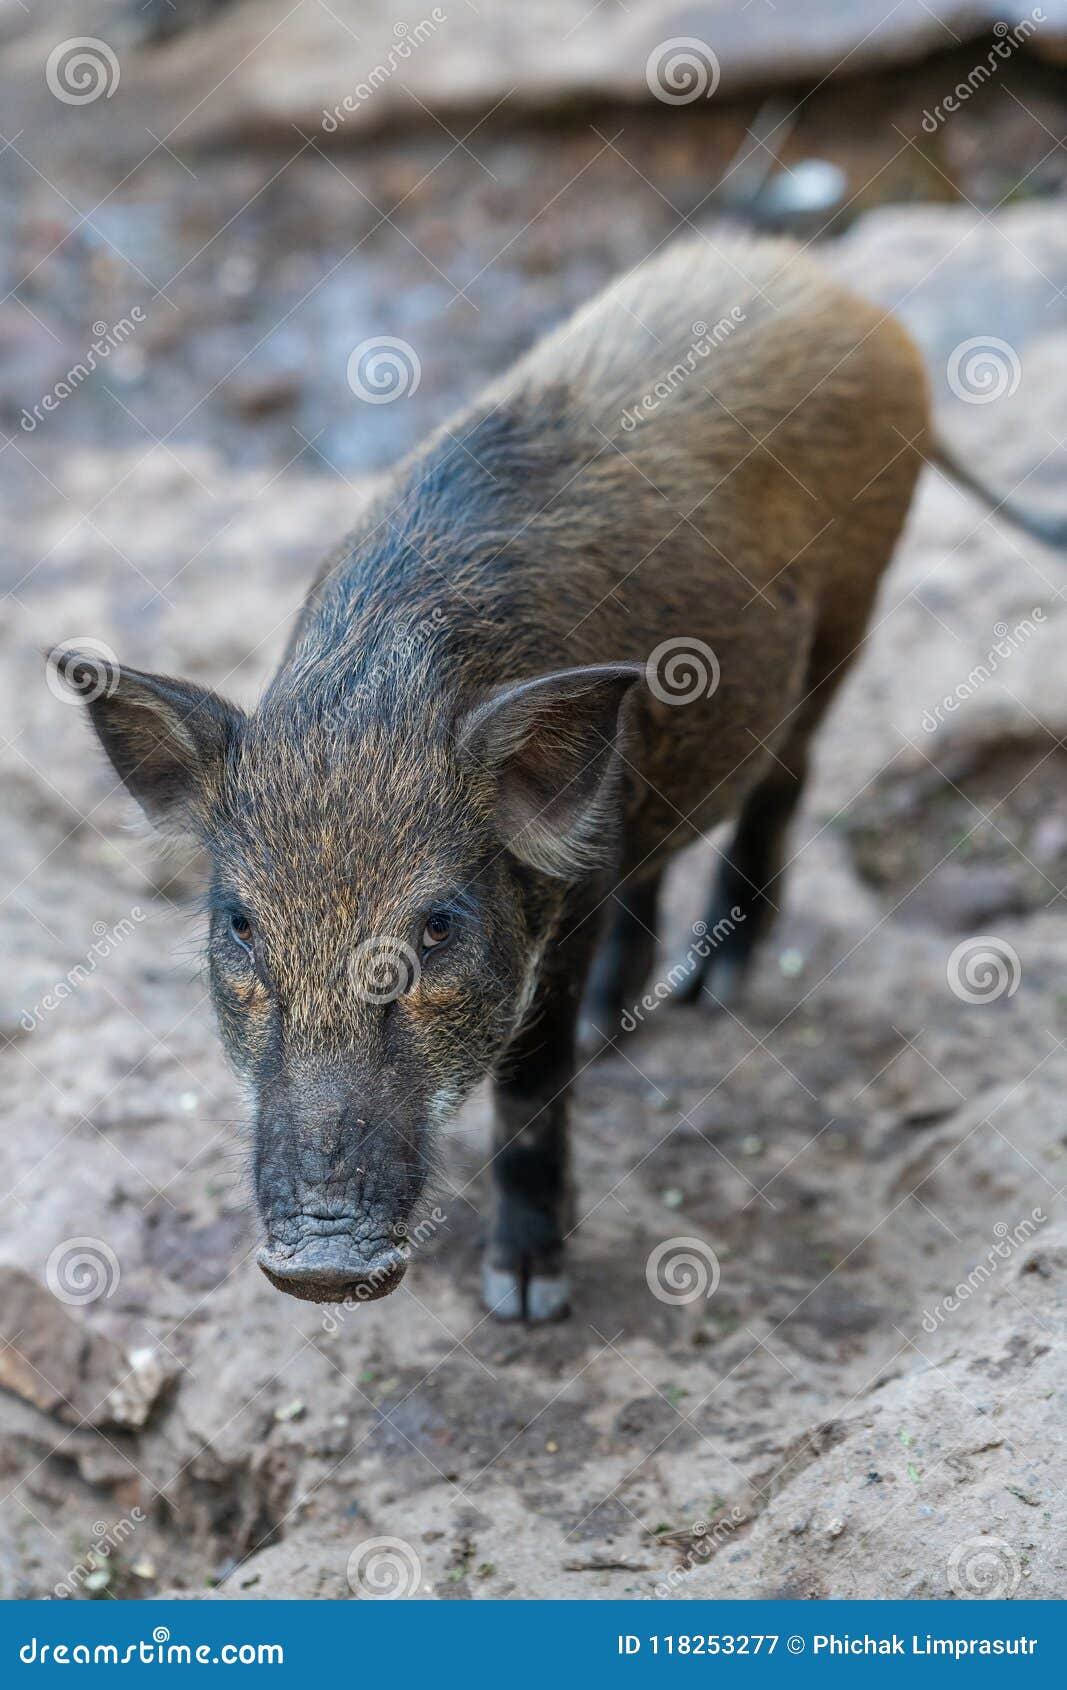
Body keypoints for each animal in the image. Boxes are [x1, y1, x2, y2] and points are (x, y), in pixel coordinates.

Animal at [51, 236, 1059, 1320]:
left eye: (437, 926)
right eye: (239, 924)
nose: (322, 1266)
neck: (375, 700)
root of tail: (834, 289)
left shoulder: (565, 906)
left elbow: (531, 1089)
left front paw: (527, 1298)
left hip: (844, 623)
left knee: (784, 784)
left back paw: (710, 991)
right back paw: (621, 1028)